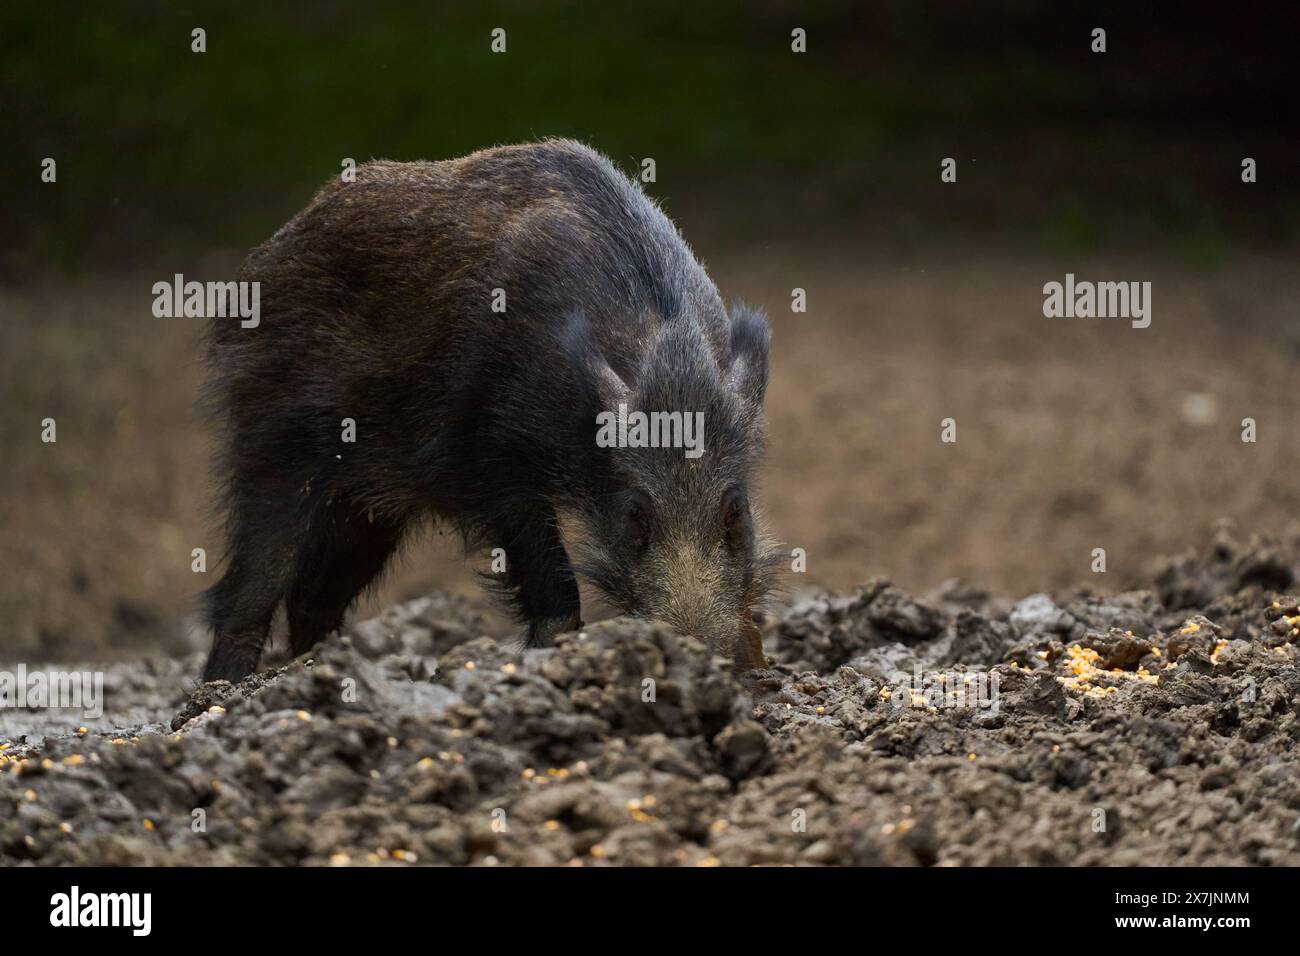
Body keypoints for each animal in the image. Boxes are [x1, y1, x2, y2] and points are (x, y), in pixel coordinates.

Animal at [200, 139, 779, 683]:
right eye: (636, 513)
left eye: (735, 510)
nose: (700, 651)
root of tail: (267, 255)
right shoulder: (488, 462)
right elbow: (554, 587)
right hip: (271, 438)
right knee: (249, 586)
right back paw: (222, 693)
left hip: (366, 509)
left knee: (313, 599)